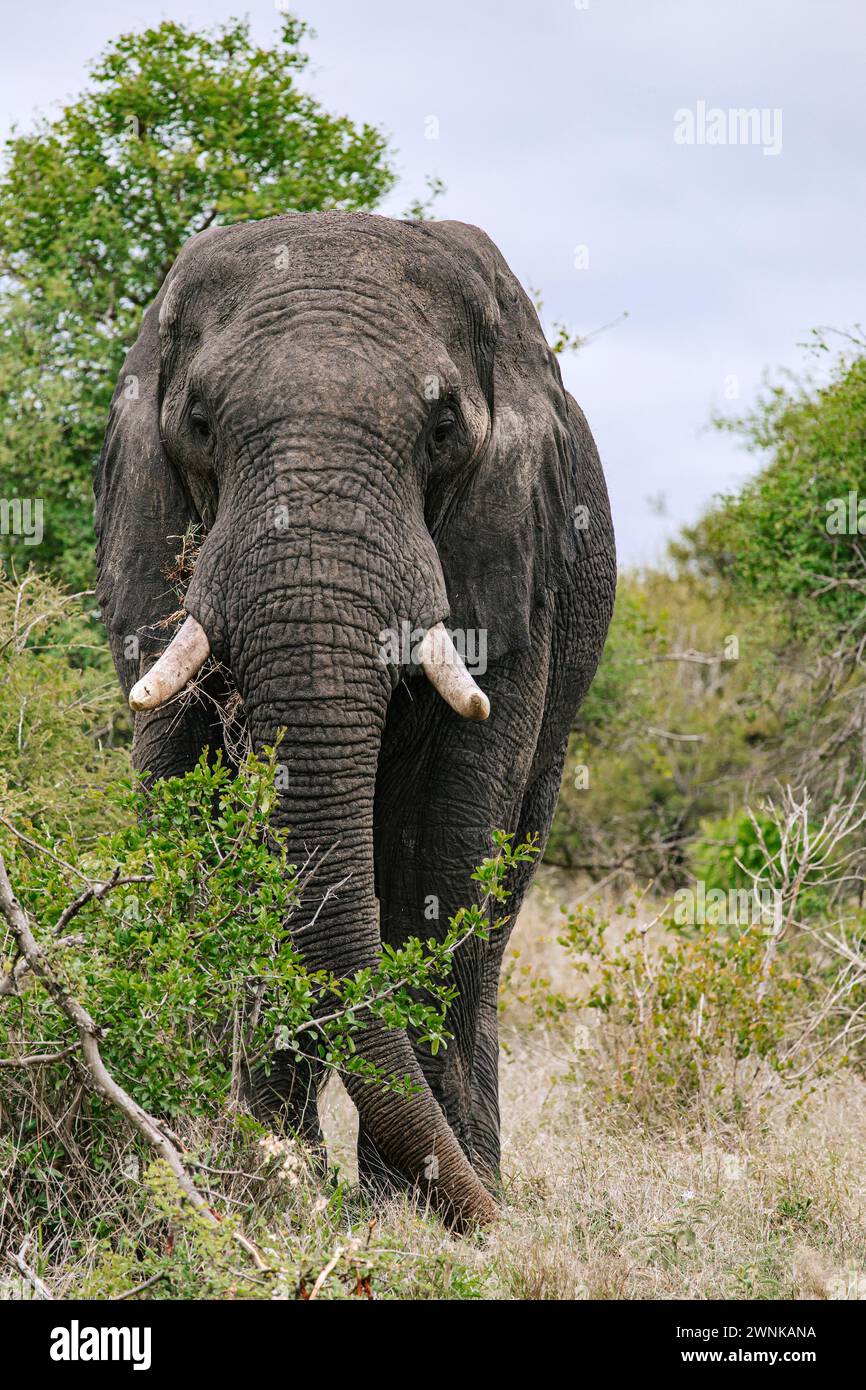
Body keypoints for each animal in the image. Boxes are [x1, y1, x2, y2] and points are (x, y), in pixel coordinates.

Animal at [94, 211, 616, 1231]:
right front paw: (260, 1176)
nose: (501, 1231)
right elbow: (189, 808)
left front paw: (419, 1207)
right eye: (201, 424)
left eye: (444, 427)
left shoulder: (511, 558)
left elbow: (446, 841)